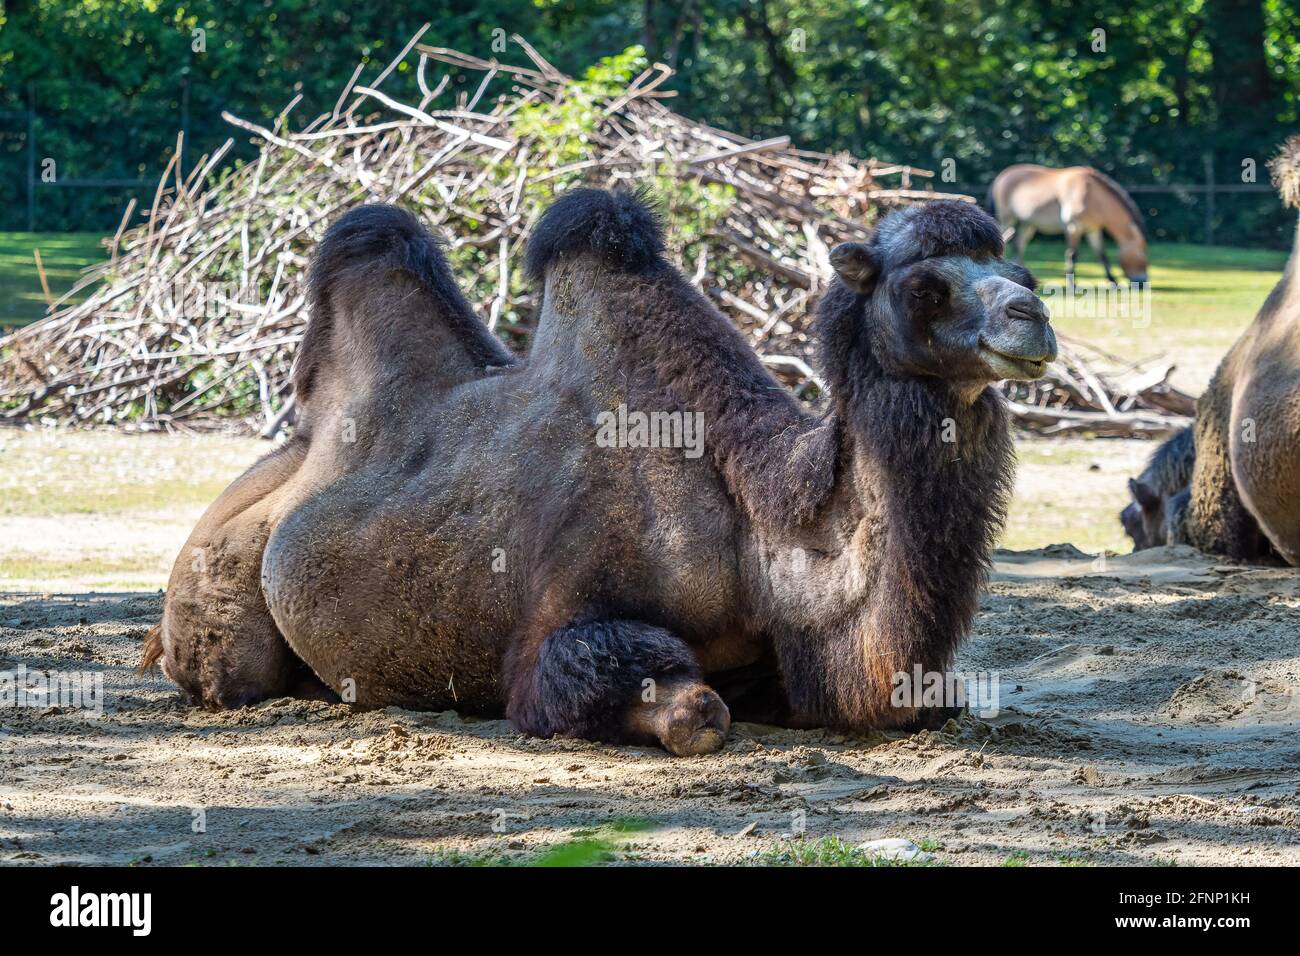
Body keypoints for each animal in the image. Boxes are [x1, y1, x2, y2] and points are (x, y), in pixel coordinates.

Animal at [143, 191, 1056, 754]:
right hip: (218, 610)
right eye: (927, 286)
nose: (1034, 315)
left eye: (1020, 272)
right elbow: (680, 706)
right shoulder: (560, 618)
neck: (759, 527)